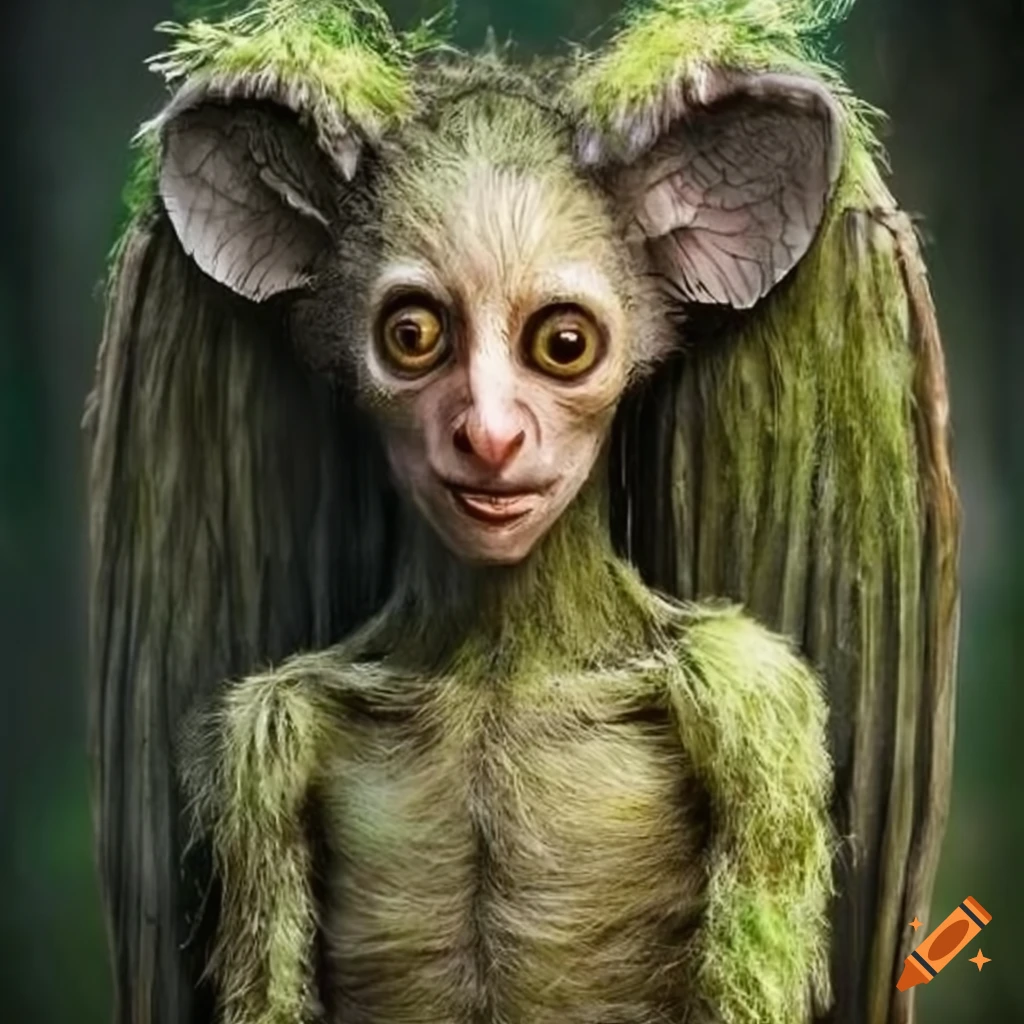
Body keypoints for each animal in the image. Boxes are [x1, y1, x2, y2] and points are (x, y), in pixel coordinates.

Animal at [87, 3, 960, 1024]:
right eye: (413, 334)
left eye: (565, 344)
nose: (493, 437)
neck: (501, 653)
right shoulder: (266, 741)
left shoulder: (755, 702)